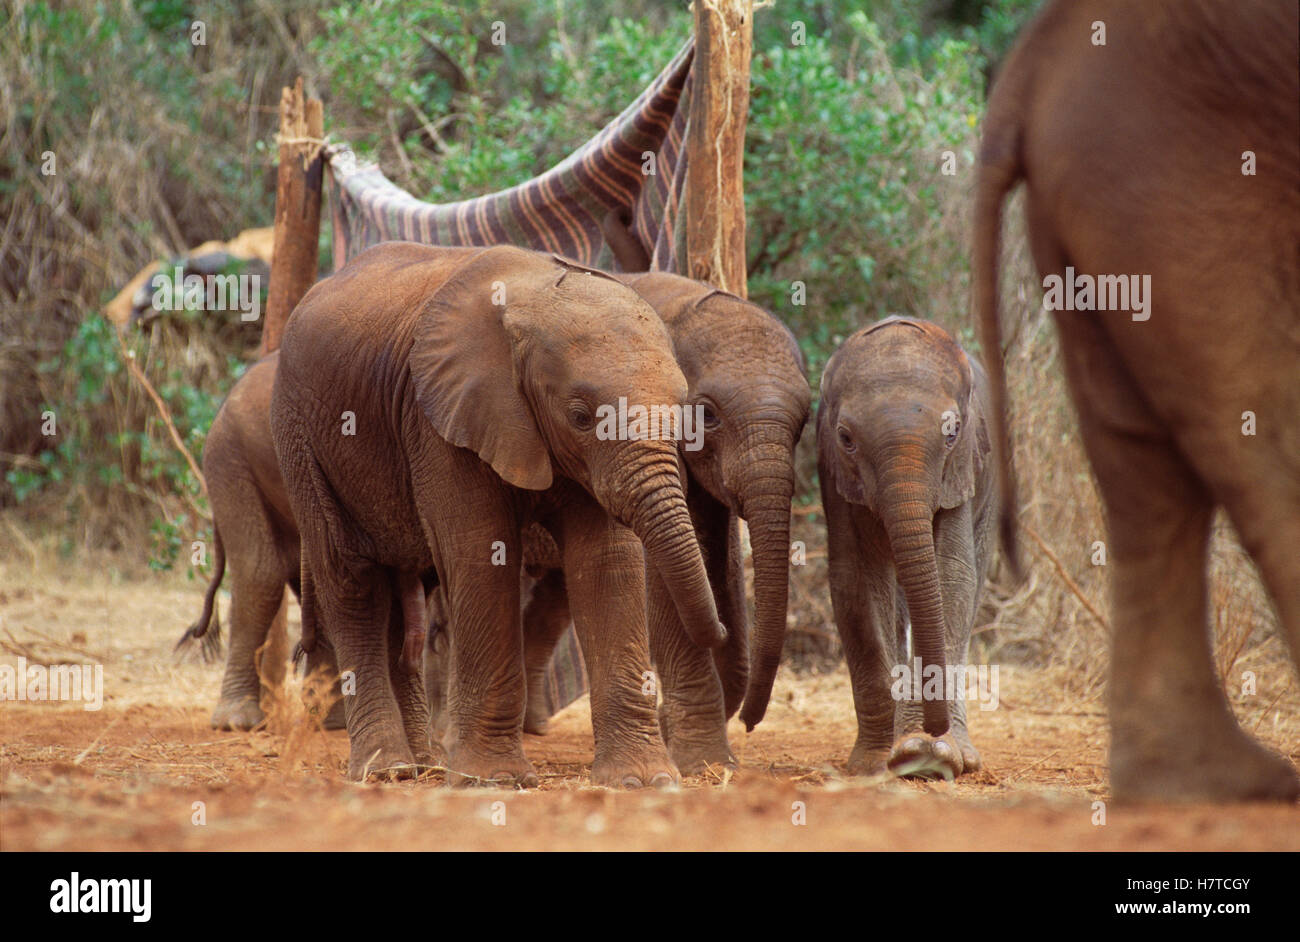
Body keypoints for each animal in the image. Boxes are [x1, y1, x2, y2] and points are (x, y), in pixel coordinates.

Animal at [270, 242, 728, 787]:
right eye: (579, 416)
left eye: (684, 411)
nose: (722, 634)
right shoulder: (440, 421)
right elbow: (480, 556)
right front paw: (494, 780)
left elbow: (606, 561)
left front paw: (642, 781)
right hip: (300, 438)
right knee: (352, 584)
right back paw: (386, 771)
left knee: (403, 595)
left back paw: (422, 765)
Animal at [818, 316, 996, 780]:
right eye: (845, 439)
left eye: (952, 434)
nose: (933, 731)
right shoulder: (834, 474)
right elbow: (856, 582)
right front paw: (882, 760)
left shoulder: (961, 469)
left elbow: (953, 576)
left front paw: (933, 753)